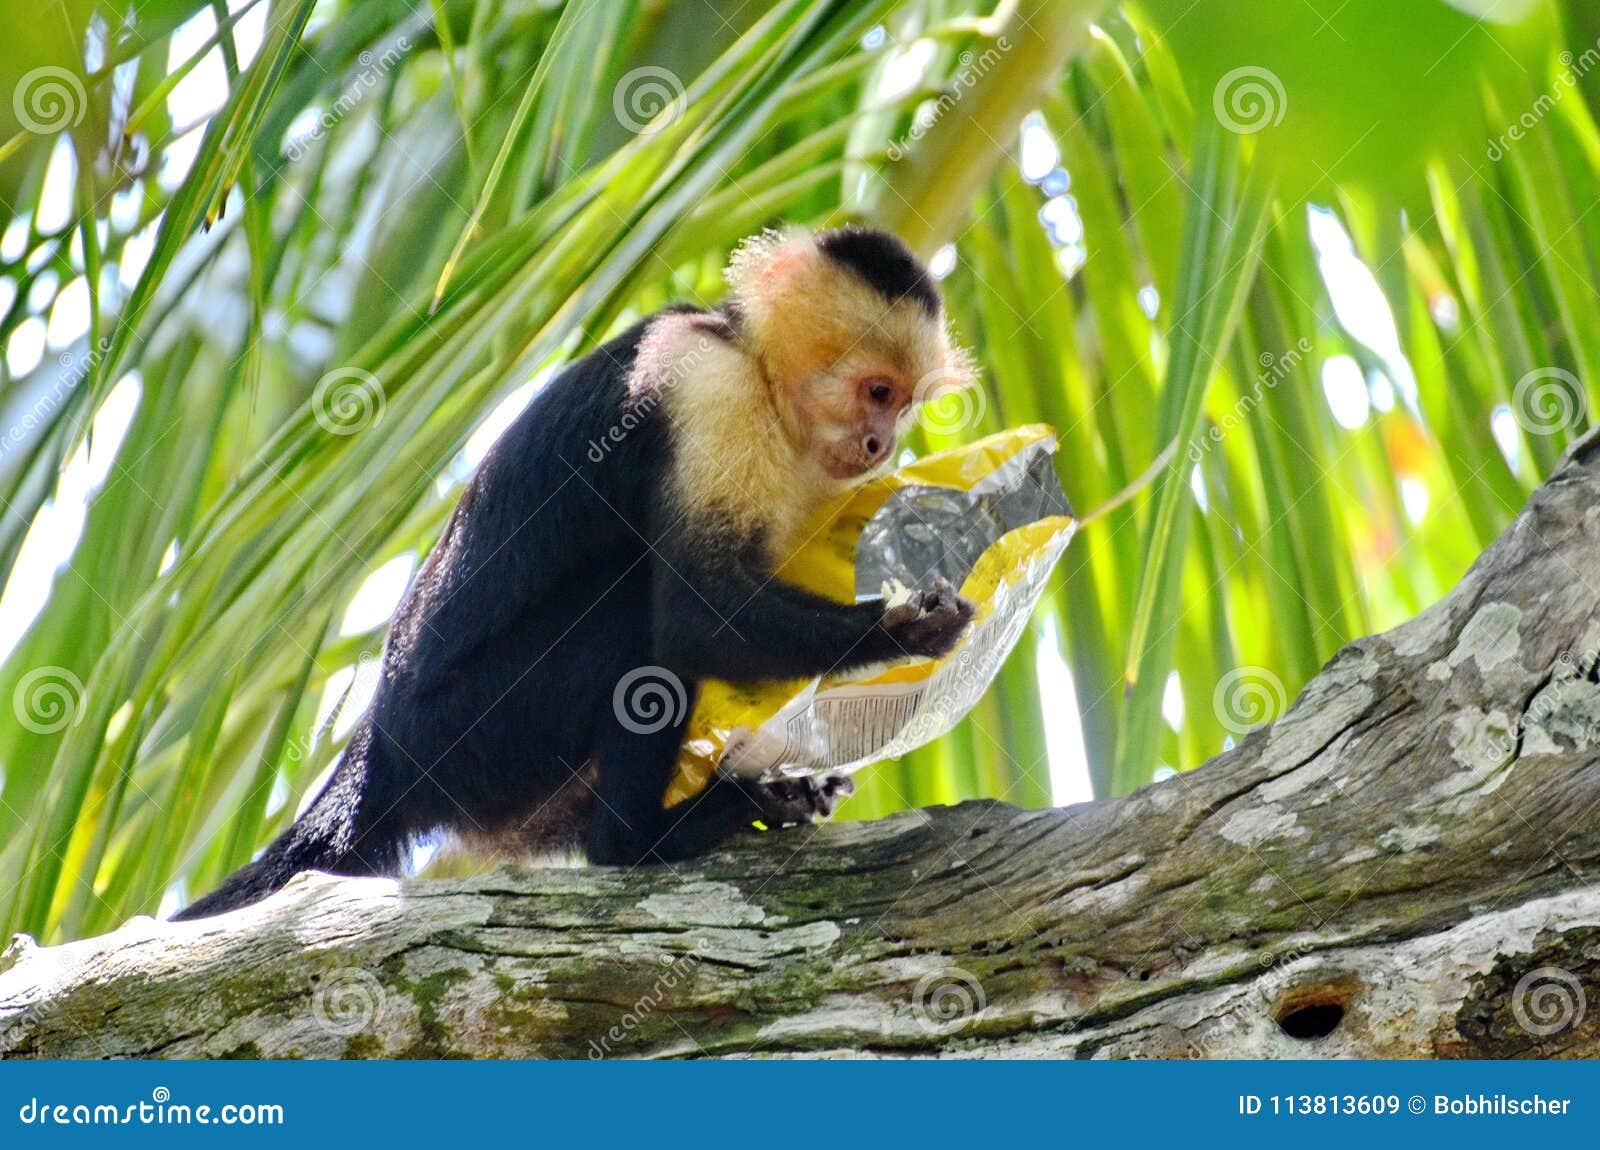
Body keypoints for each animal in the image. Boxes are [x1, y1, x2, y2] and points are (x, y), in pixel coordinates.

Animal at [173, 226, 976, 920]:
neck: (762, 379)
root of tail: (381, 746)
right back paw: (638, 842)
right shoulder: (706, 387)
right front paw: (899, 630)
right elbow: (696, 615)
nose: (881, 444)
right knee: (630, 618)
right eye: (877, 392)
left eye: (903, 405)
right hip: (472, 736)